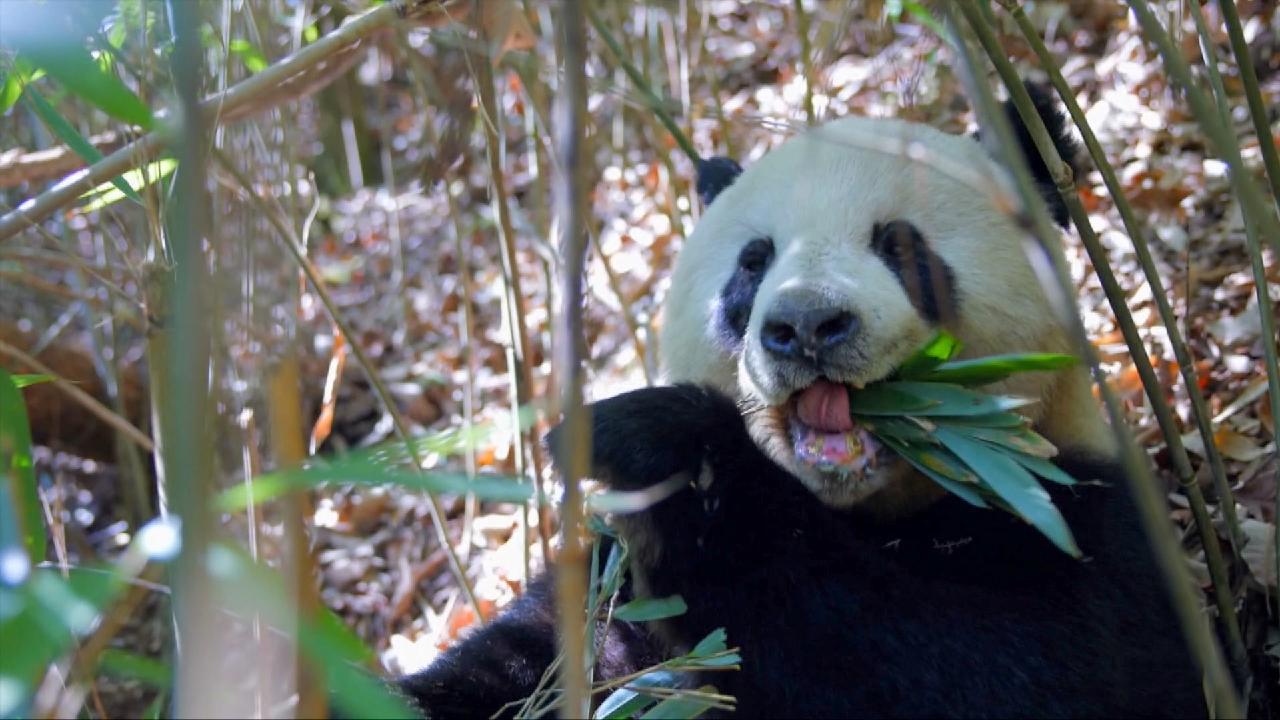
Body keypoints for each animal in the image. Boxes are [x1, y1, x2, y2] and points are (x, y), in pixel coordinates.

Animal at [393, 88, 1205, 718]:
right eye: (753, 265)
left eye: (898, 246)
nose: (808, 325)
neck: (872, 509)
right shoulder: (601, 599)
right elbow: (504, 669)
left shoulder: (1080, 518)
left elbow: (1004, 672)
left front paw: (673, 452)